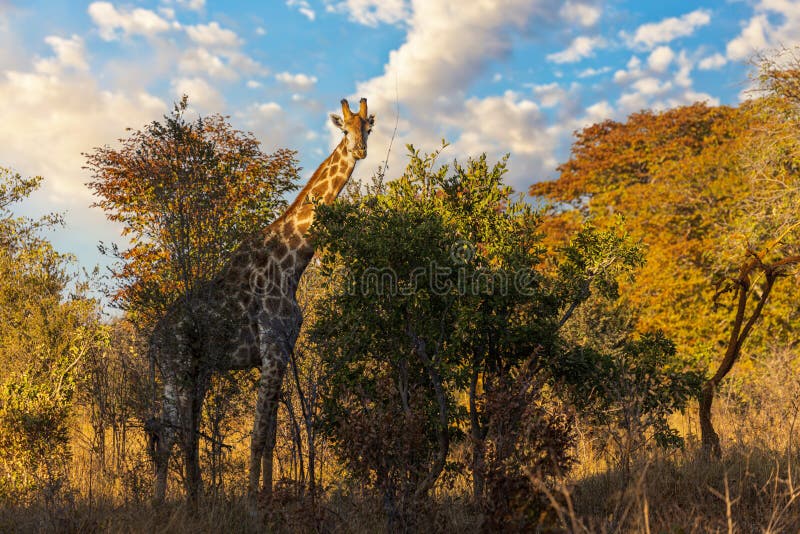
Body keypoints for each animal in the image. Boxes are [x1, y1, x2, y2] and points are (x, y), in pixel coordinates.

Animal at [148, 98, 375, 506]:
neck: (292, 262)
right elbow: (256, 436)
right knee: (173, 433)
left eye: (368, 128)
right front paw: (252, 502)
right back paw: (167, 502)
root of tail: (155, 339)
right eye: (345, 129)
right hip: (179, 367)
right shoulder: (272, 349)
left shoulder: (282, 351)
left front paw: (268, 498)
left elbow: (269, 438)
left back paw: (185, 500)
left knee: (178, 433)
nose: (360, 150)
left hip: (193, 371)